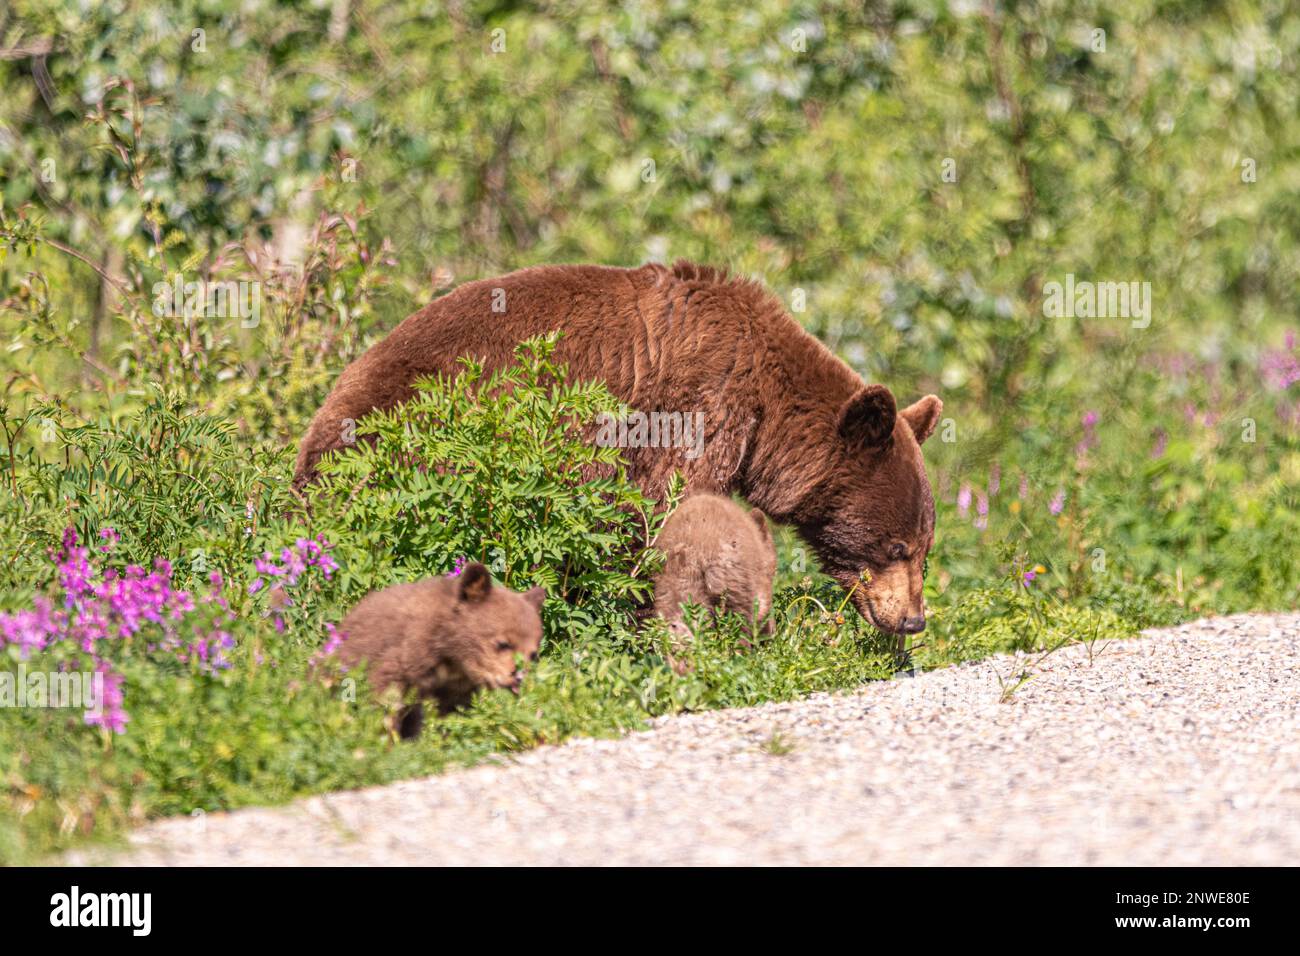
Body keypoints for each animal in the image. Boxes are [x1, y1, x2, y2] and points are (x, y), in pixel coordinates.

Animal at [335, 563, 544, 738]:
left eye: (533, 653)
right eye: (503, 643)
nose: (517, 678)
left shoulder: (457, 687)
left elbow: (452, 713)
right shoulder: (402, 657)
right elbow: (386, 698)